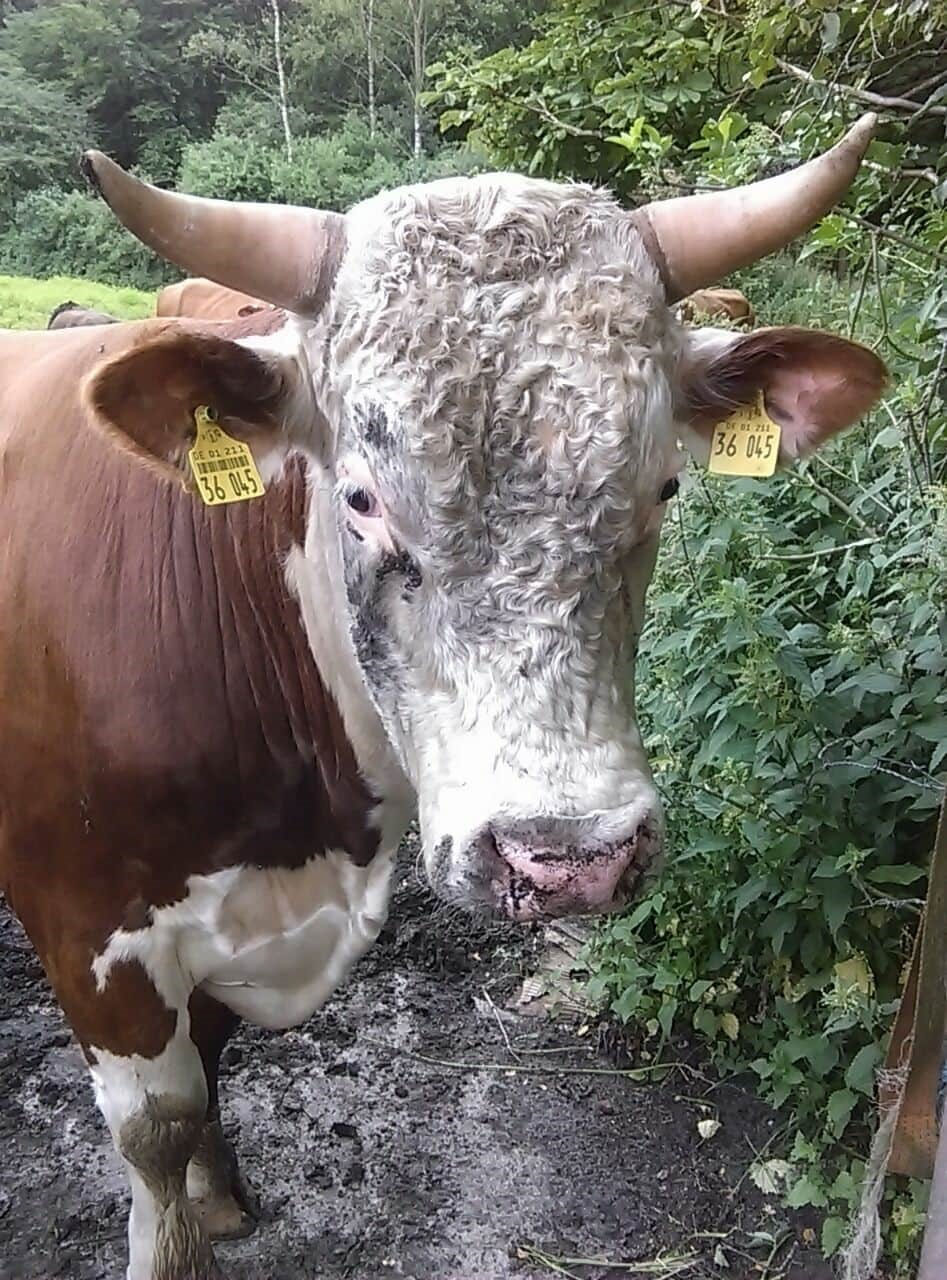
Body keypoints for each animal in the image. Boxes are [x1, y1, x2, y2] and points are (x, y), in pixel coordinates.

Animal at [0, 114, 886, 1280]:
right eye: (362, 497)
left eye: (663, 487)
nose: (567, 857)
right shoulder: (91, 933)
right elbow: (159, 1125)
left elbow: (211, 1069)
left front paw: (221, 1195)